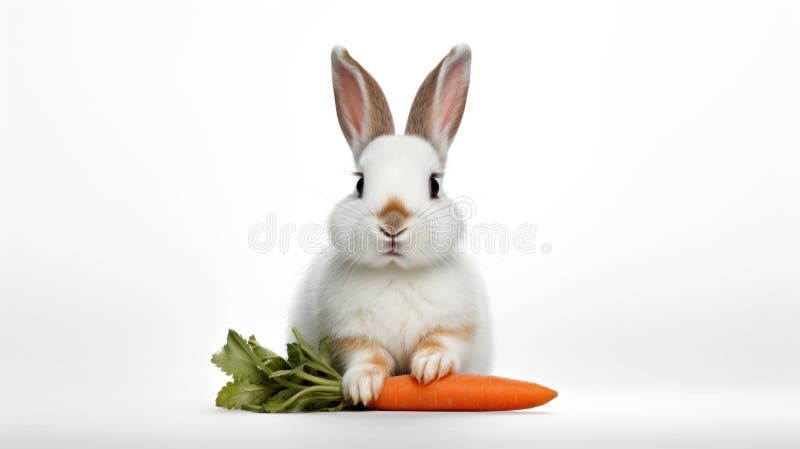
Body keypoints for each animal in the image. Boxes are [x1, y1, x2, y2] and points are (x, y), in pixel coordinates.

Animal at [288, 44, 491, 406]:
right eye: (360, 184)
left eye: (434, 185)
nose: (393, 224)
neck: (397, 273)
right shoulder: (351, 335)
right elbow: (368, 357)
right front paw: (361, 386)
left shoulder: (457, 327)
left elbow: (442, 343)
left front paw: (430, 367)